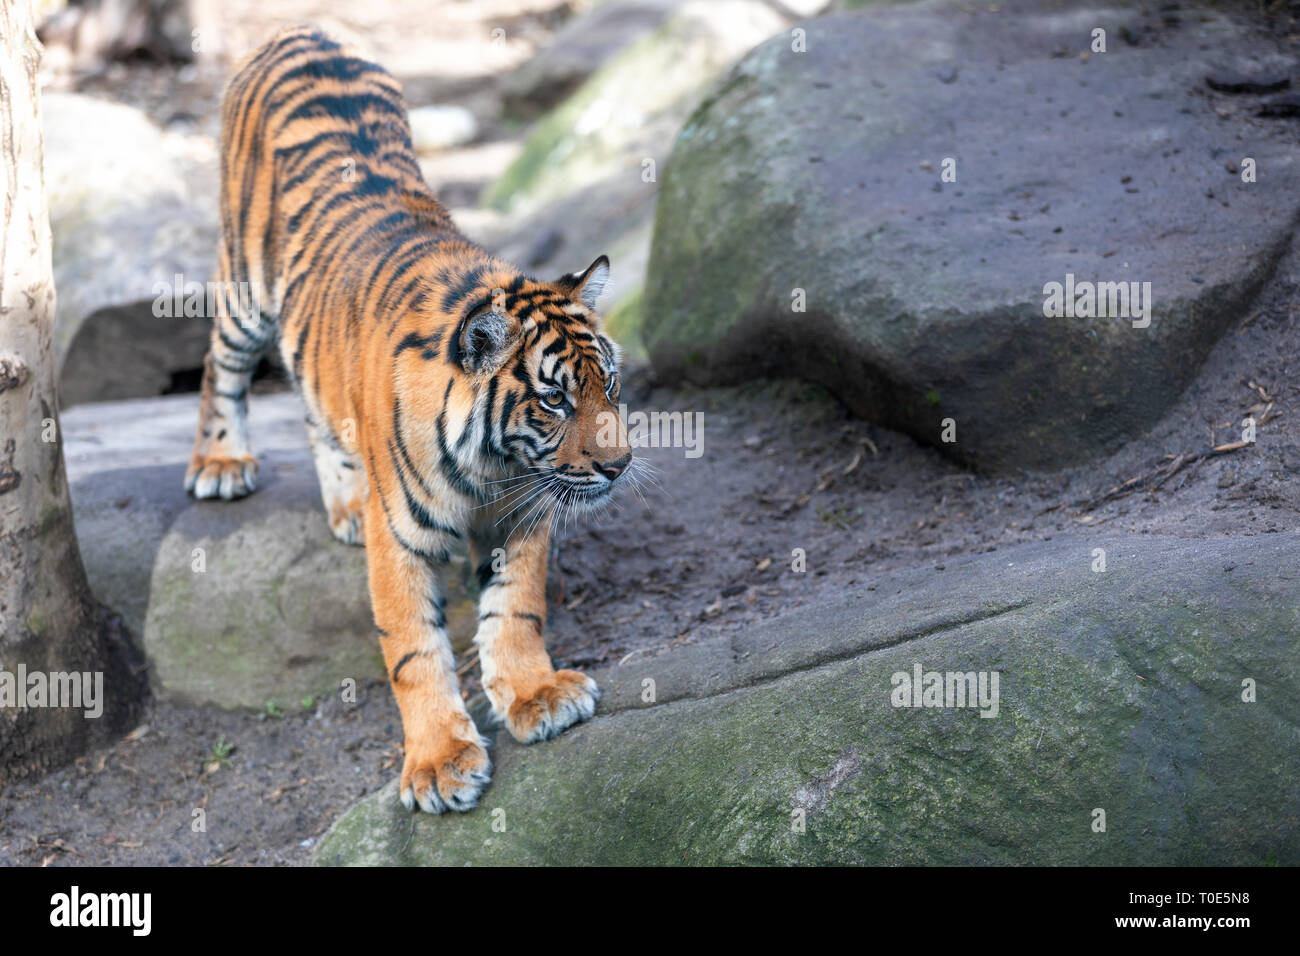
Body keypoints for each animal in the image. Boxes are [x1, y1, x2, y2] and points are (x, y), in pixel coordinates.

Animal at [184, 26, 633, 814]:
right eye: (555, 400)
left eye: (606, 382)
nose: (620, 464)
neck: (497, 464)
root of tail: (301, 29)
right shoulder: (401, 539)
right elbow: (413, 648)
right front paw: (439, 764)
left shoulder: (523, 514)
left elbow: (517, 609)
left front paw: (536, 695)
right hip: (243, 281)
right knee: (220, 362)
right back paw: (220, 462)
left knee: (314, 411)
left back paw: (344, 504)